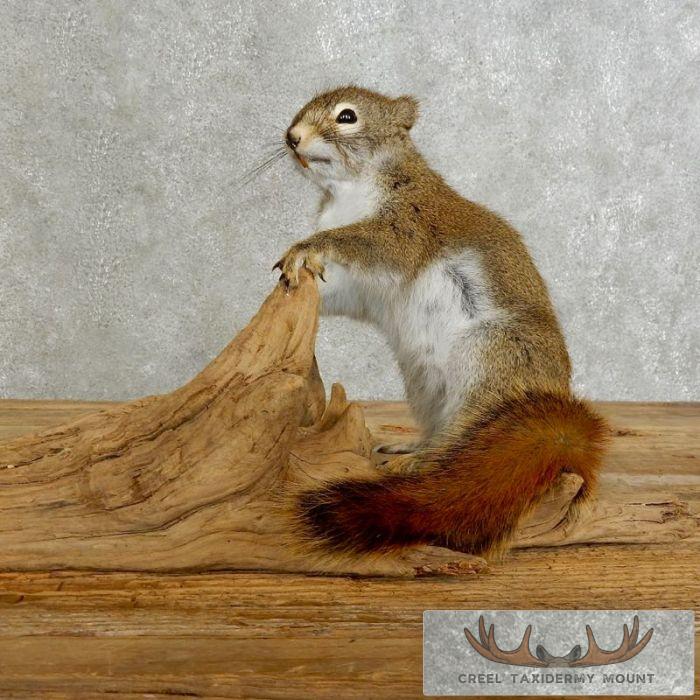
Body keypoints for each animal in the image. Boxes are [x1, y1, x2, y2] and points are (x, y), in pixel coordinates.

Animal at [274, 86, 608, 557]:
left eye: (347, 116)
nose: (292, 137)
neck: (348, 190)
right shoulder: (362, 287)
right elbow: (343, 295)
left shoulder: (408, 225)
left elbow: (370, 242)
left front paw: (308, 246)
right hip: (425, 380)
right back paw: (412, 445)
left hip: (490, 359)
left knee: (463, 436)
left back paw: (421, 461)